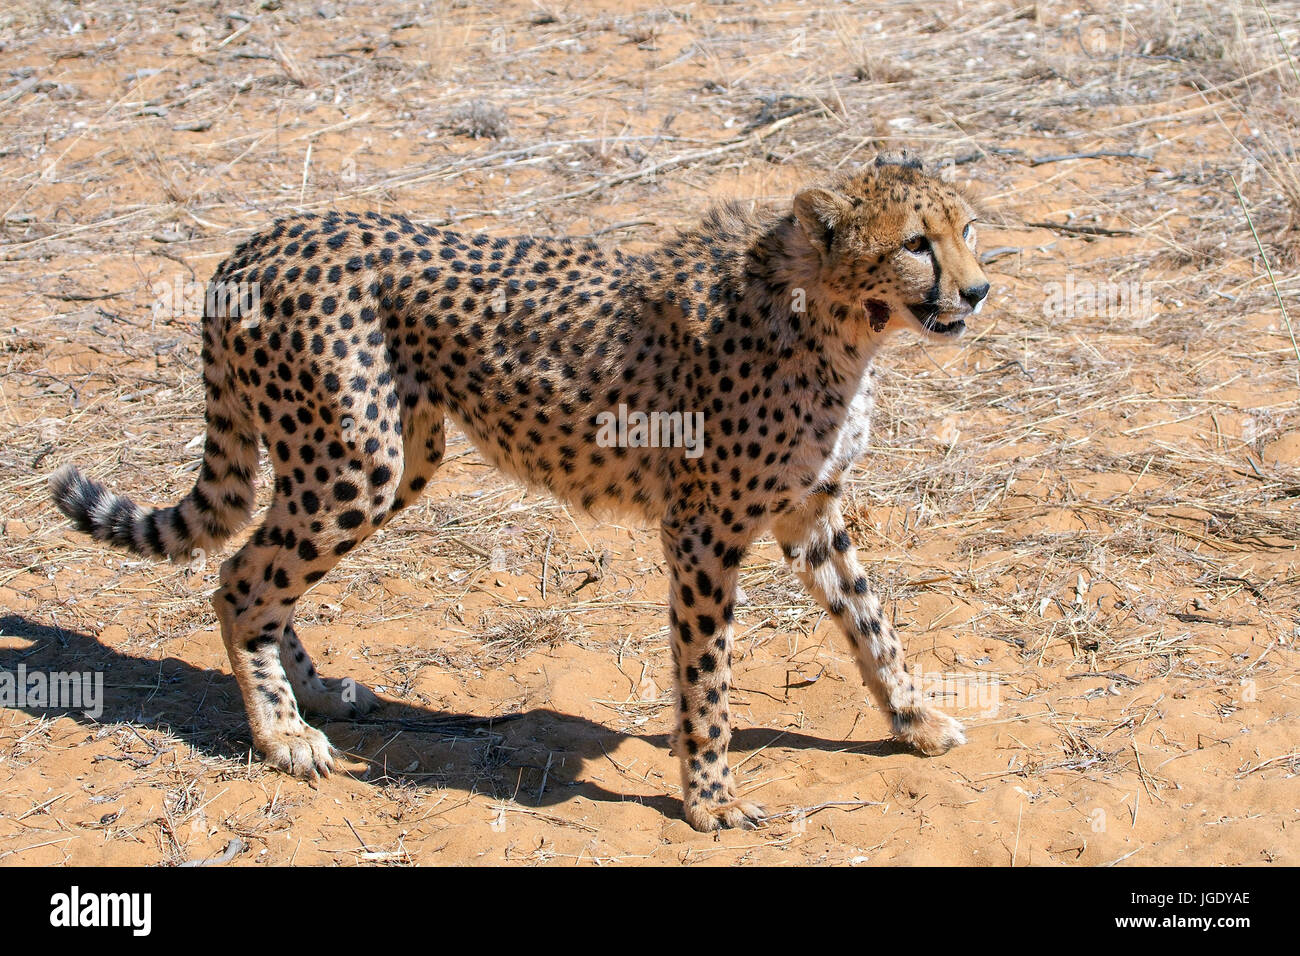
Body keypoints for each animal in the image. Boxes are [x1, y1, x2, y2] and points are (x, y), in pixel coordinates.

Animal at [50, 151, 991, 832]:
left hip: (396, 455)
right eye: (916, 243)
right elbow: (708, 677)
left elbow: (872, 625)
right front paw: (710, 798)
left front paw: (916, 722)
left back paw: (315, 693)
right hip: (356, 460)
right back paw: (285, 736)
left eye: (969, 229)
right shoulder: (704, 529)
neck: (832, 319)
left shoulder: (810, 508)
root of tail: (261, 237)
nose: (978, 290)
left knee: (264, 577)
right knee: (241, 581)